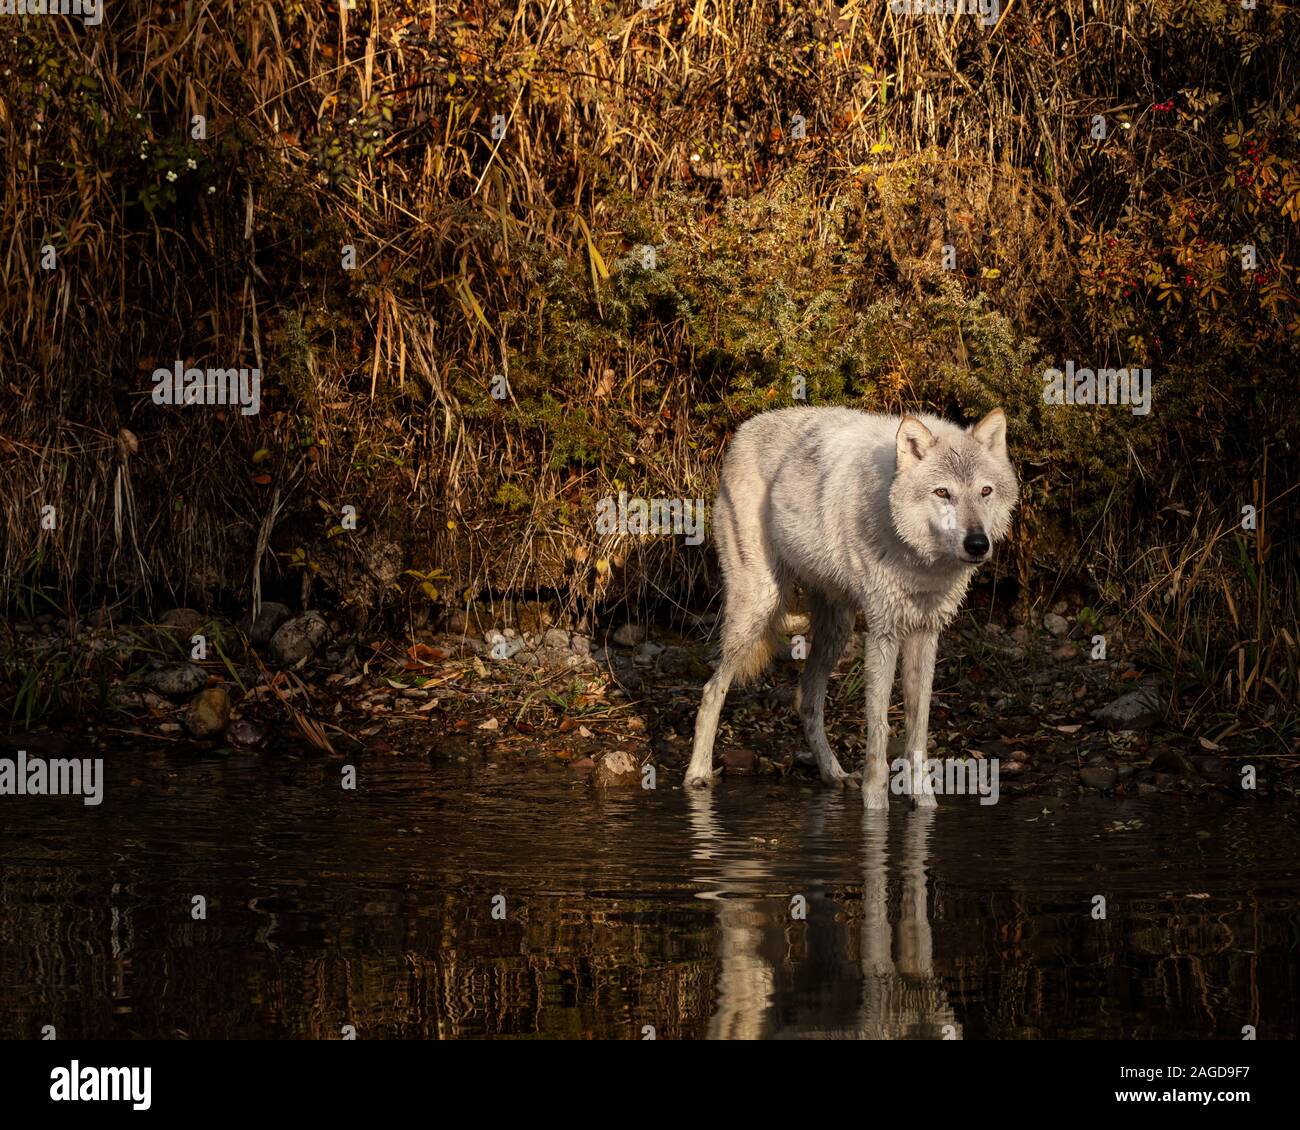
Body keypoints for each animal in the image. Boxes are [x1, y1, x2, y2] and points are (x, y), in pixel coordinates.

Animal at [686, 407, 1018, 808]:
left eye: (985, 491)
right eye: (943, 492)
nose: (977, 544)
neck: (919, 560)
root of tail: (744, 429)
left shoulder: (925, 633)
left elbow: (918, 726)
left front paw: (924, 805)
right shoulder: (883, 633)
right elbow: (879, 727)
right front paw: (875, 805)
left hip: (837, 628)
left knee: (806, 700)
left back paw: (834, 773)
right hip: (758, 606)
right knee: (712, 690)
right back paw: (697, 775)